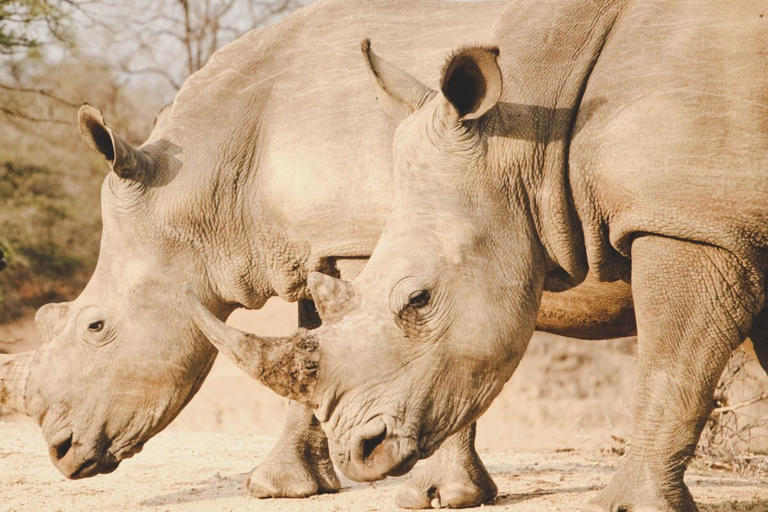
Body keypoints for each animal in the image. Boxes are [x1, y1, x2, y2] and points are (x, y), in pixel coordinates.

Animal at [0, 0, 636, 508]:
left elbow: (426, 336)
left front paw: (437, 495)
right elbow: (315, 336)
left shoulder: (379, 235)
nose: (59, 452)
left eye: (96, 326)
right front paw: (282, 488)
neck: (207, 185)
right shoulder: (321, 241)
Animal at [186, 0, 768, 510]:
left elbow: (671, 369)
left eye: (419, 300)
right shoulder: (733, 222)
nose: (359, 452)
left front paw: (630, 507)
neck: (534, 133)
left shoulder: (693, 222)